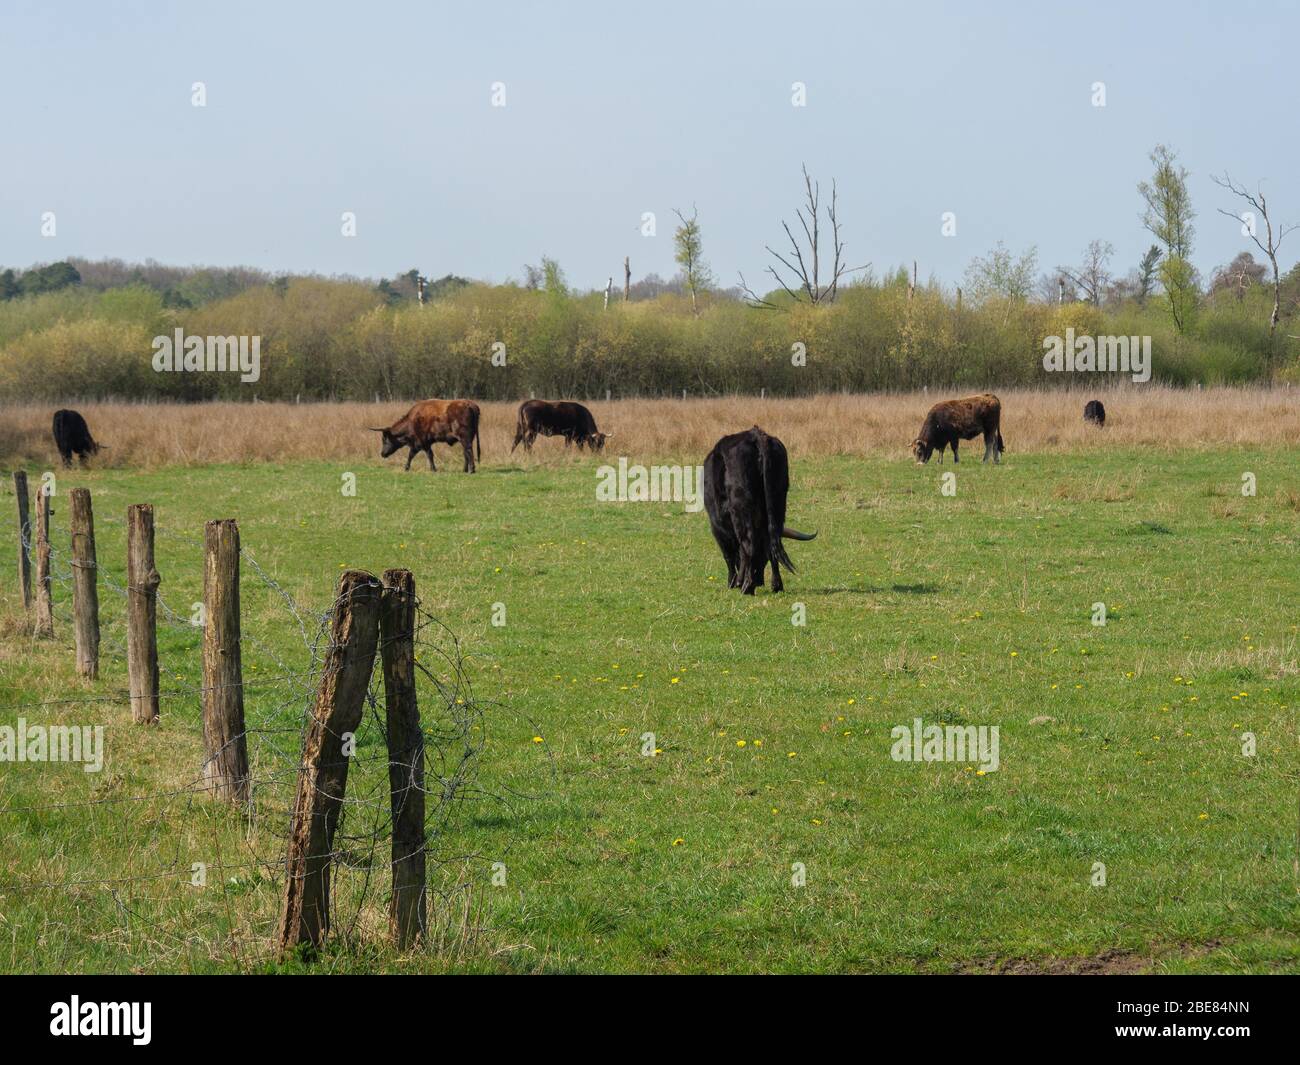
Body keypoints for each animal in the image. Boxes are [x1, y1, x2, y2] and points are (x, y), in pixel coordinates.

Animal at [702, 426, 816, 595]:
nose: (760, 581)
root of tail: (757, 436)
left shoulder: (717, 526)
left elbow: (730, 555)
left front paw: (733, 582)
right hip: (777, 504)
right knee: (772, 542)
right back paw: (775, 585)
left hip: (742, 511)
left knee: (748, 544)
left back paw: (747, 587)